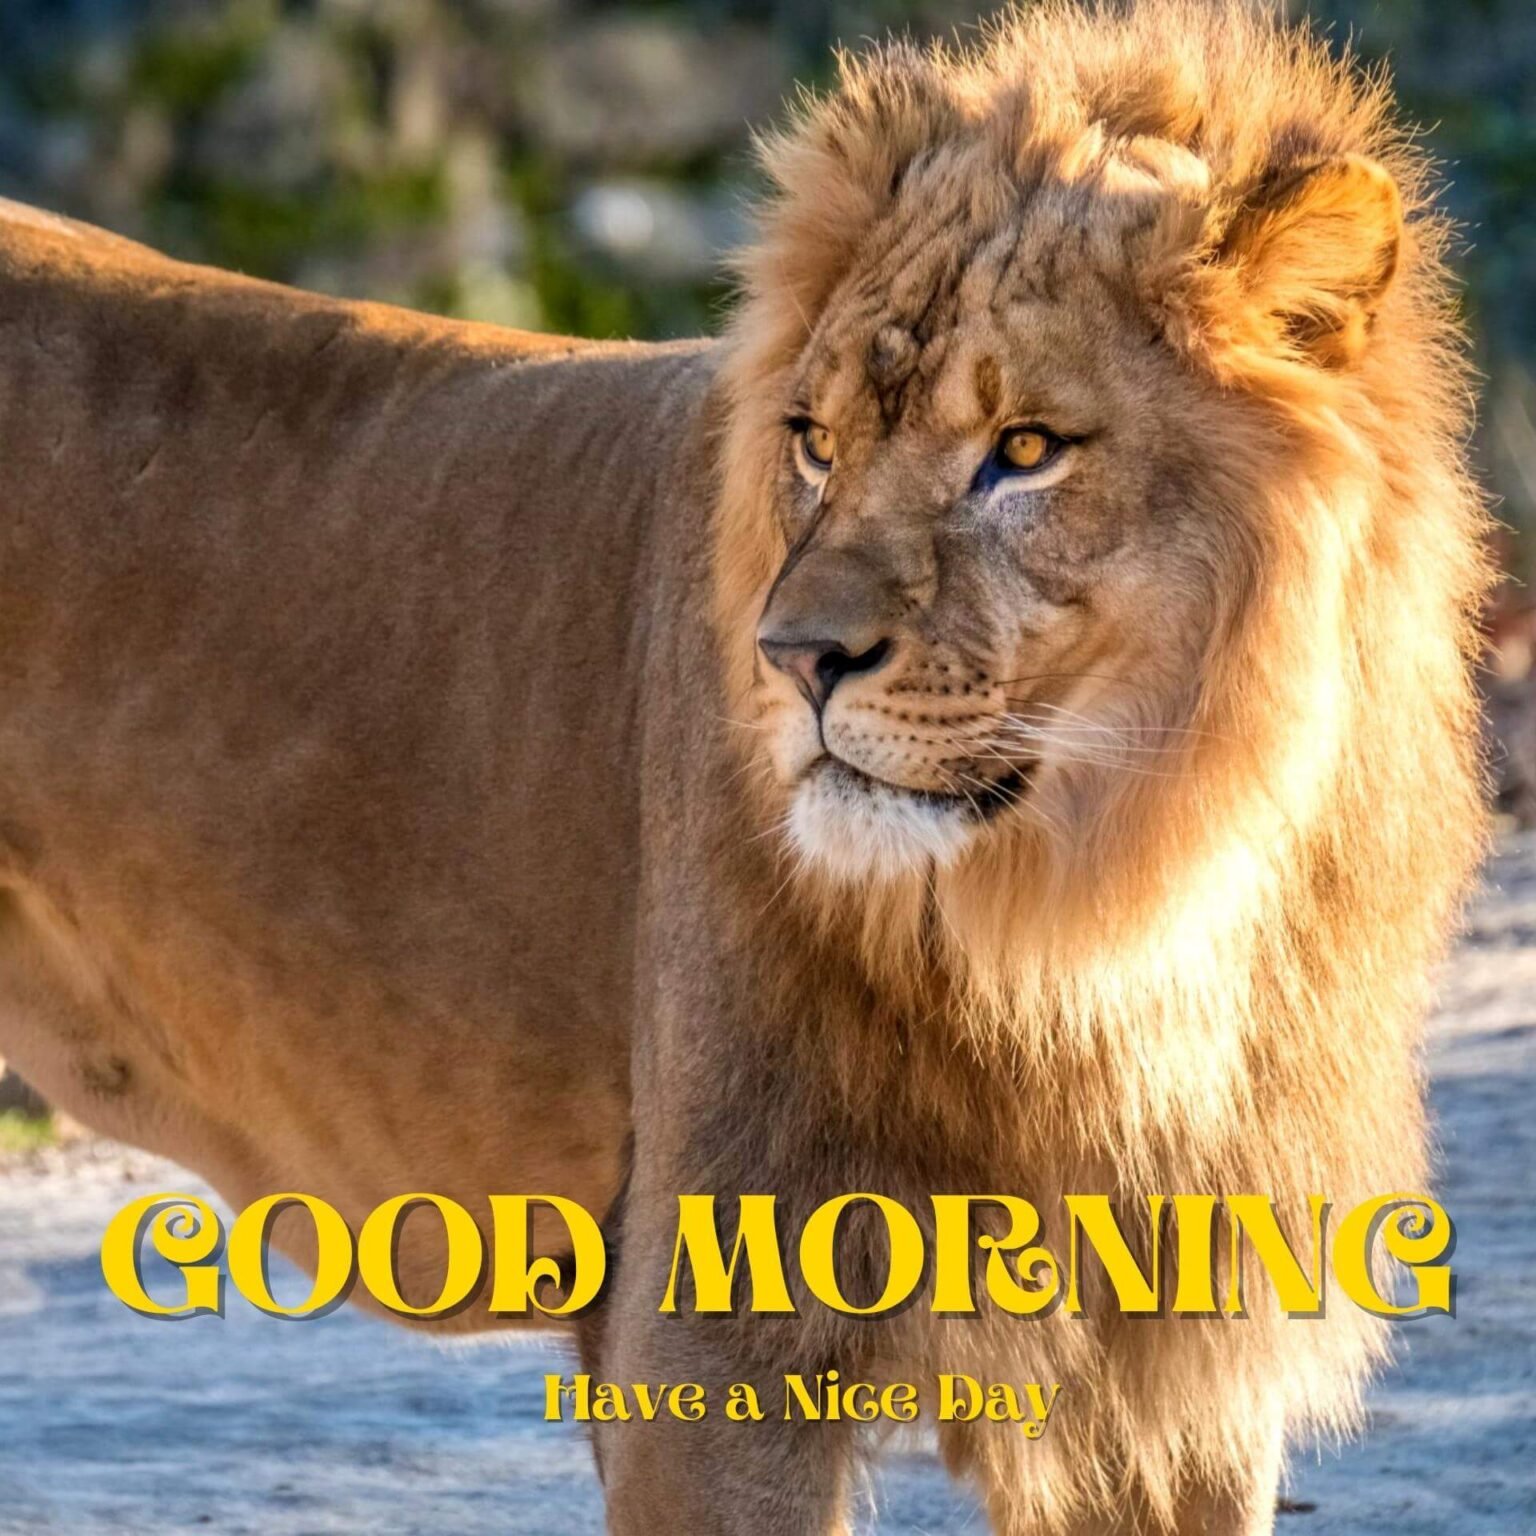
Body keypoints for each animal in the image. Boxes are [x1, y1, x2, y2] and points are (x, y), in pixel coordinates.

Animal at [0, 1, 1488, 1531]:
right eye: (816, 443)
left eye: (1023, 450)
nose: (793, 658)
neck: (1106, 930)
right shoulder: (709, 1339)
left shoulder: (1172, 1383)